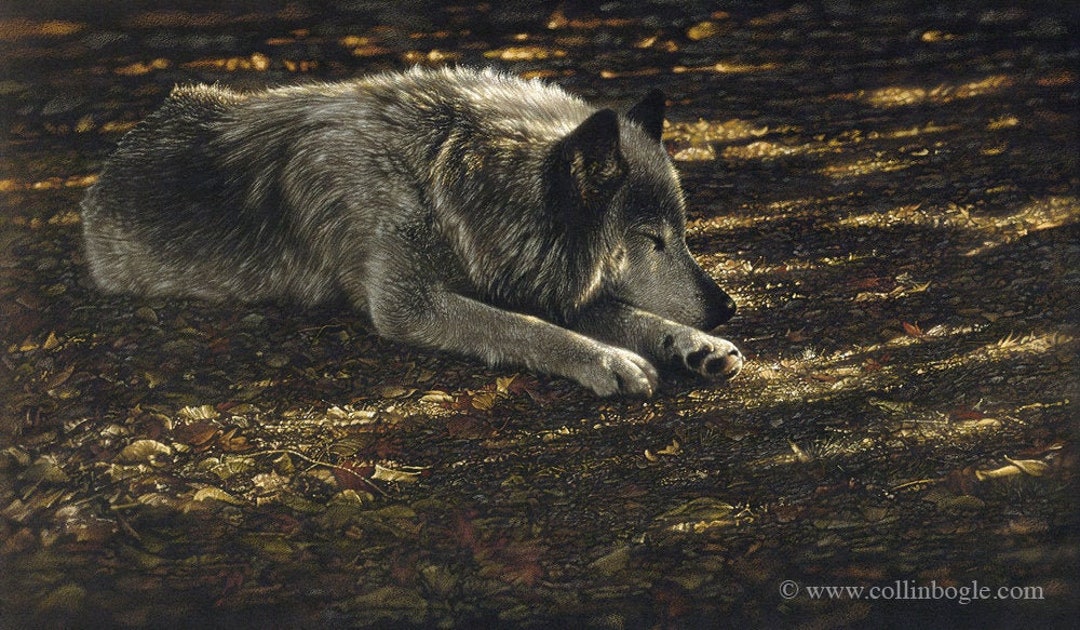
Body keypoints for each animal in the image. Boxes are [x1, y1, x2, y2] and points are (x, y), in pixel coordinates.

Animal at [81, 66, 743, 396]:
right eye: (652, 241)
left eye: (683, 233)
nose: (727, 307)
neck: (440, 172)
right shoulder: (409, 305)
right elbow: (527, 329)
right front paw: (608, 359)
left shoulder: (524, 275)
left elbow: (624, 314)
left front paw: (693, 345)